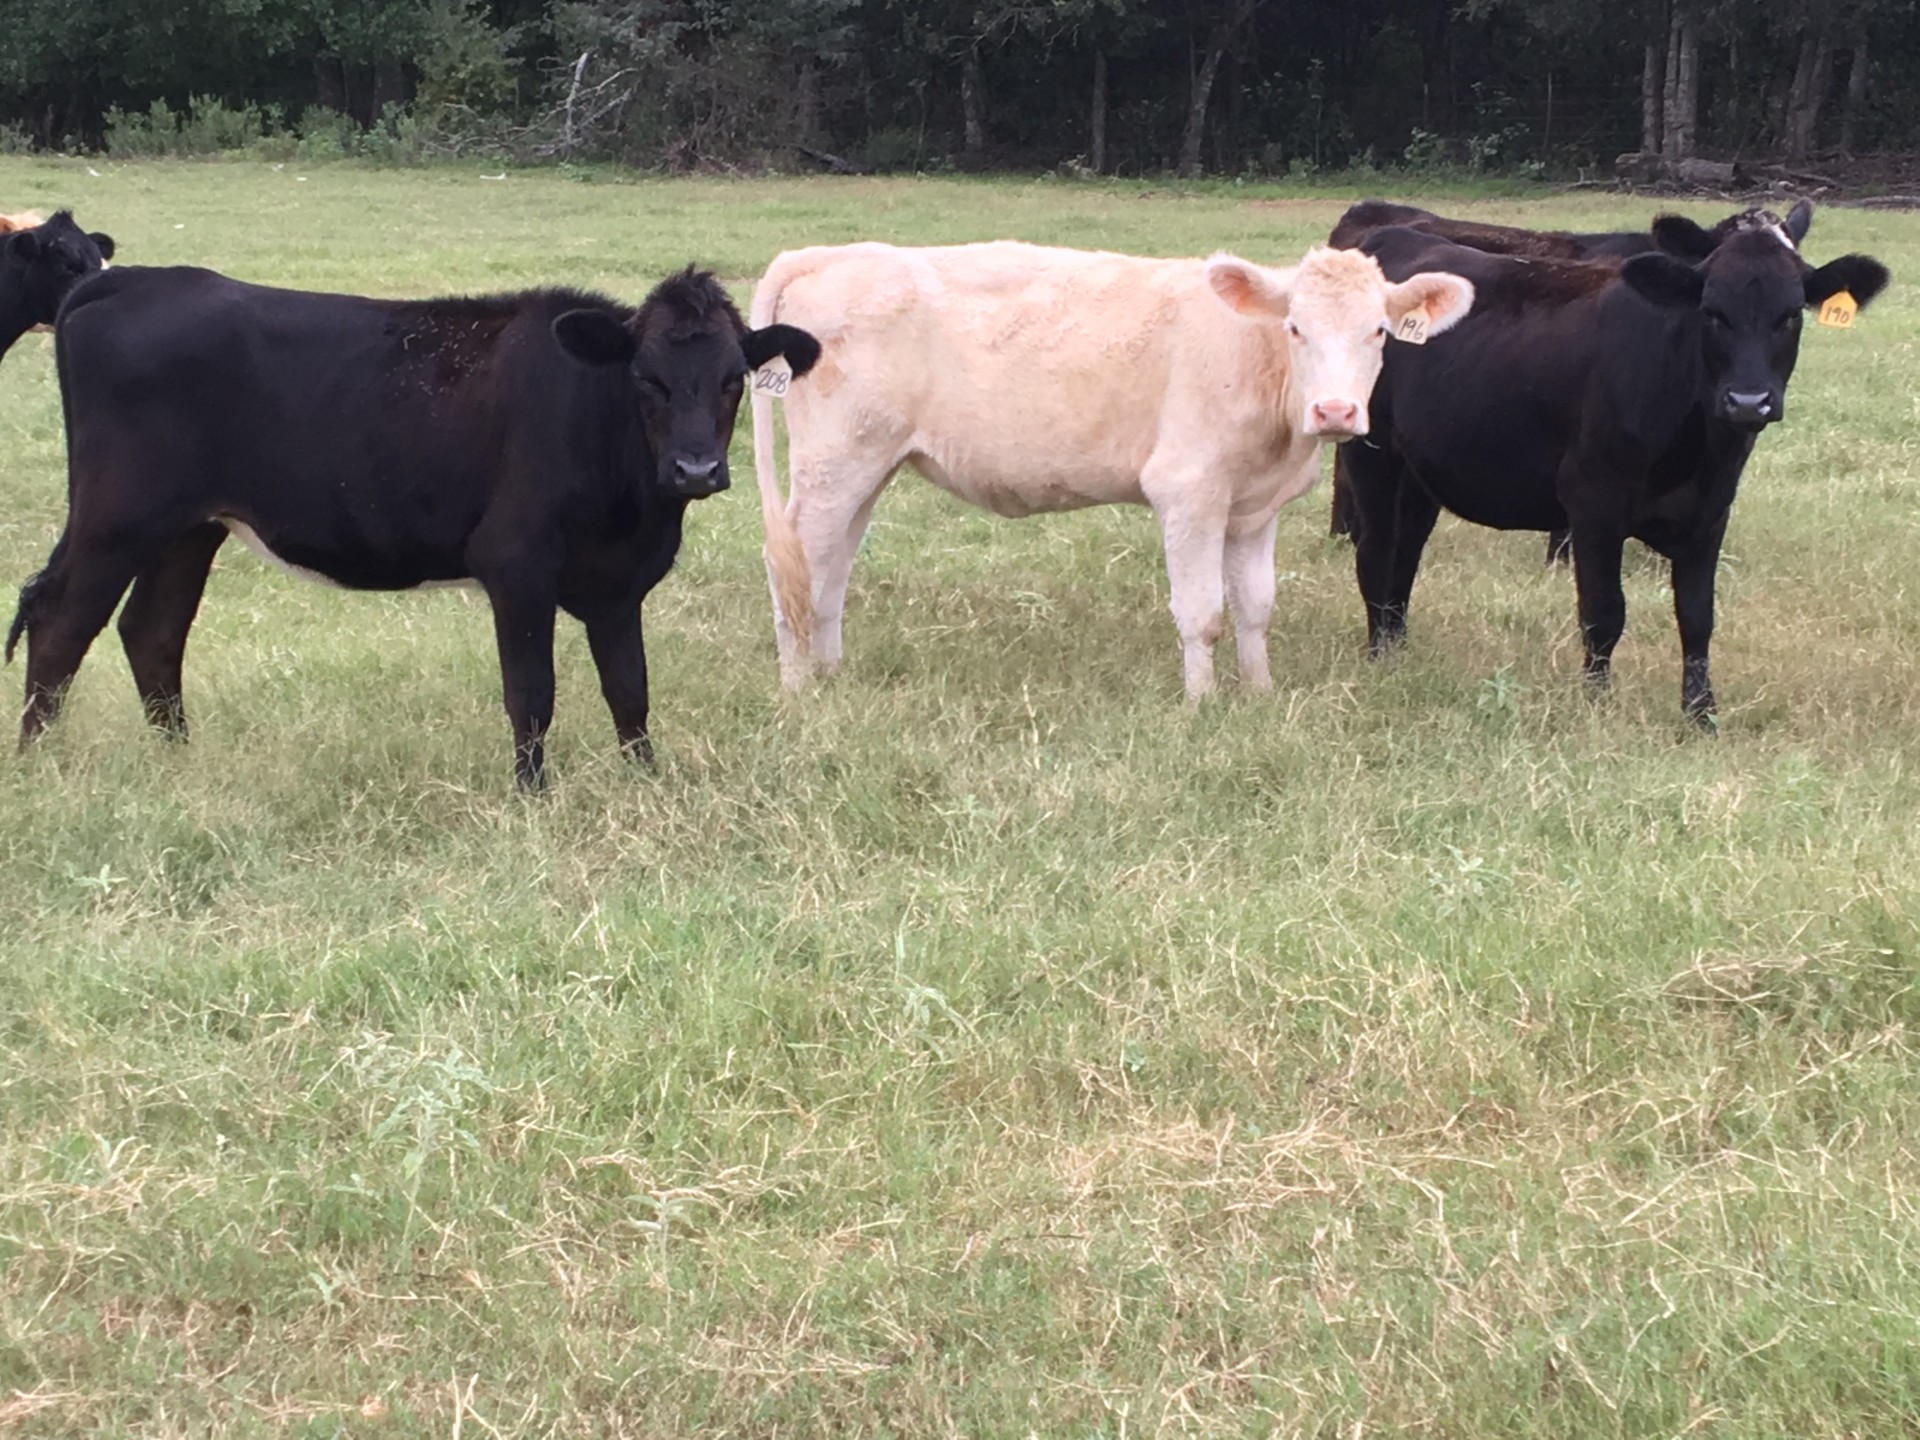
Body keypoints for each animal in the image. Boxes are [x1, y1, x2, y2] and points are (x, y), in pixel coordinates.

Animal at [7, 264, 821, 788]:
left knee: (152, 630)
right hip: (118, 517)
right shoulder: (516, 565)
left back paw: (180, 762)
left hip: (187, 527)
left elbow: (630, 691)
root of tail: (132, 278)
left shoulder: (619, 585)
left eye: (734, 380)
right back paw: (35, 768)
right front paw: (532, 796)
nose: (696, 469)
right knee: (61, 621)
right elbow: (532, 694)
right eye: (646, 379)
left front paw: (648, 783)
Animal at [749, 240, 1474, 699]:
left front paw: (1261, 694)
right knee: (793, 567)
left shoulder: (1254, 508)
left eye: (1379, 331)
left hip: (866, 467)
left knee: (828, 574)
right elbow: (1202, 611)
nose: (1335, 411)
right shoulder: (1187, 490)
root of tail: (833, 253)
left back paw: (831, 674)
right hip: (834, 463)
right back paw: (796, 689)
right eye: (1294, 327)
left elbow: (1255, 608)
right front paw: (1202, 704)